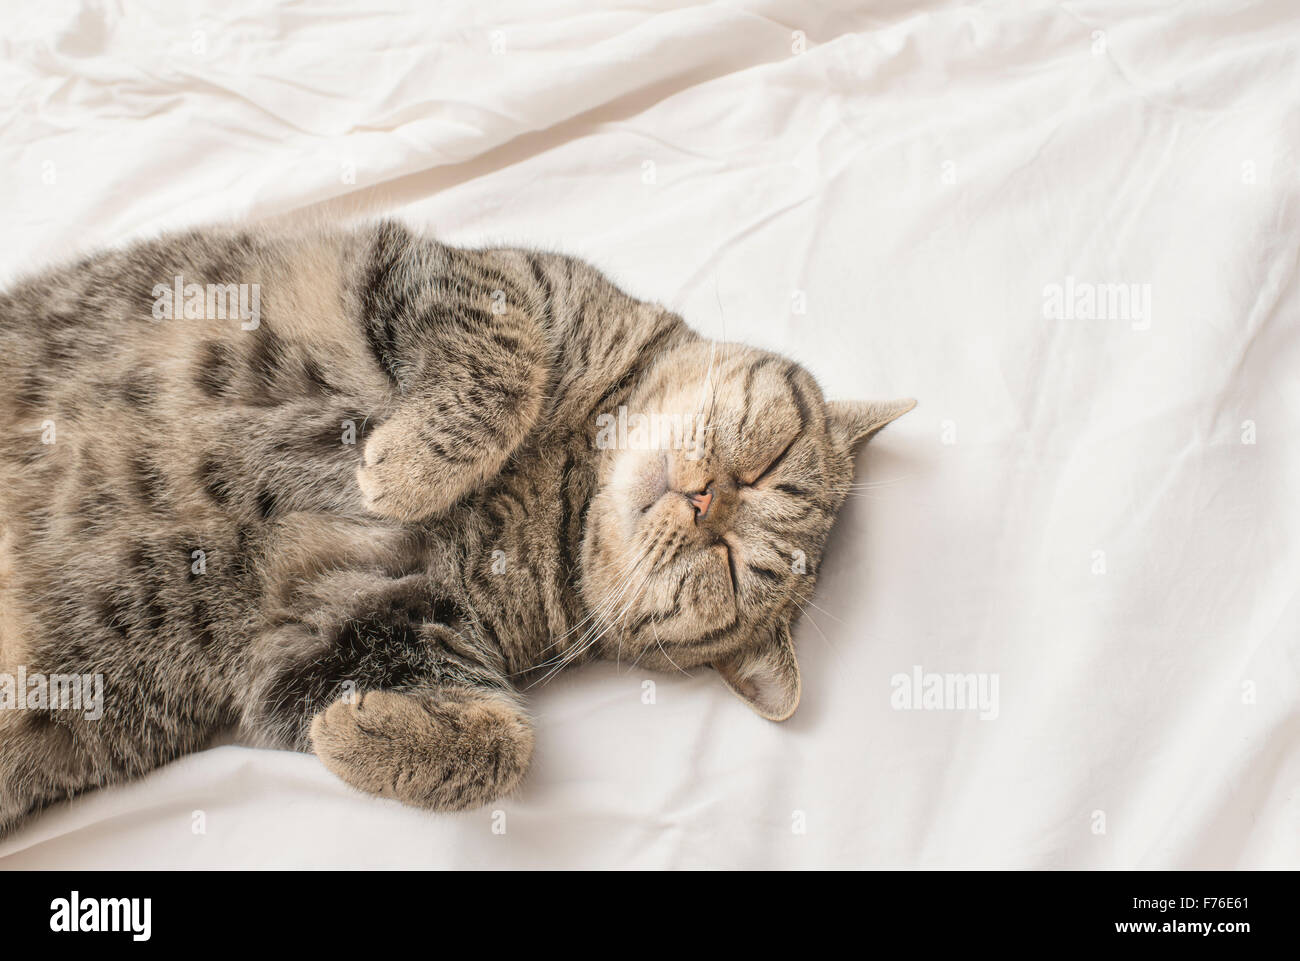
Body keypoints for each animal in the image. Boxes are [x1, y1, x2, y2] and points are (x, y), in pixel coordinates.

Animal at [0, 222, 915, 837]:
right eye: (770, 465)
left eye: (728, 565)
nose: (706, 502)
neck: (568, 482)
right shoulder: (463, 277)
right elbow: (502, 363)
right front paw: (410, 468)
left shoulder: (333, 625)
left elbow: (506, 748)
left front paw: (360, 728)